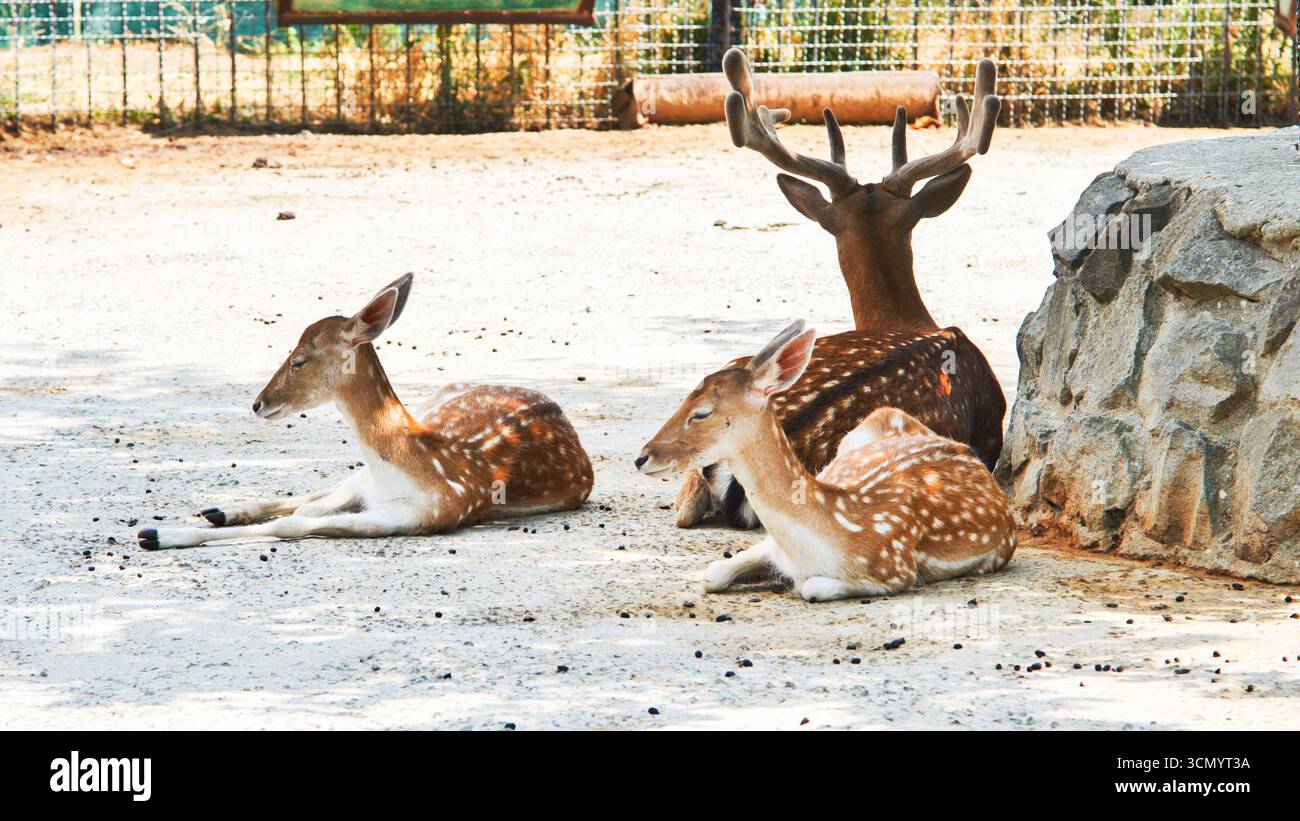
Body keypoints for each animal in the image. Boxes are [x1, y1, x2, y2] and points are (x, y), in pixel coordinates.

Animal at [136, 274, 594, 551]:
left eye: (299, 360)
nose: (258, 403)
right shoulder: (370, 489)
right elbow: (306, 509)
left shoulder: (422, 515)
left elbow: (294, 523)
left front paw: (155, 534)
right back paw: (219, 510)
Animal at [639, 321, 1016, 602]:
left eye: (701, 413)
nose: (642, 457)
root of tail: (969, 455)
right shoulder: (771, 545)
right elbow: (712, 574)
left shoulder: (894, 570)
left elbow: (810, 587)